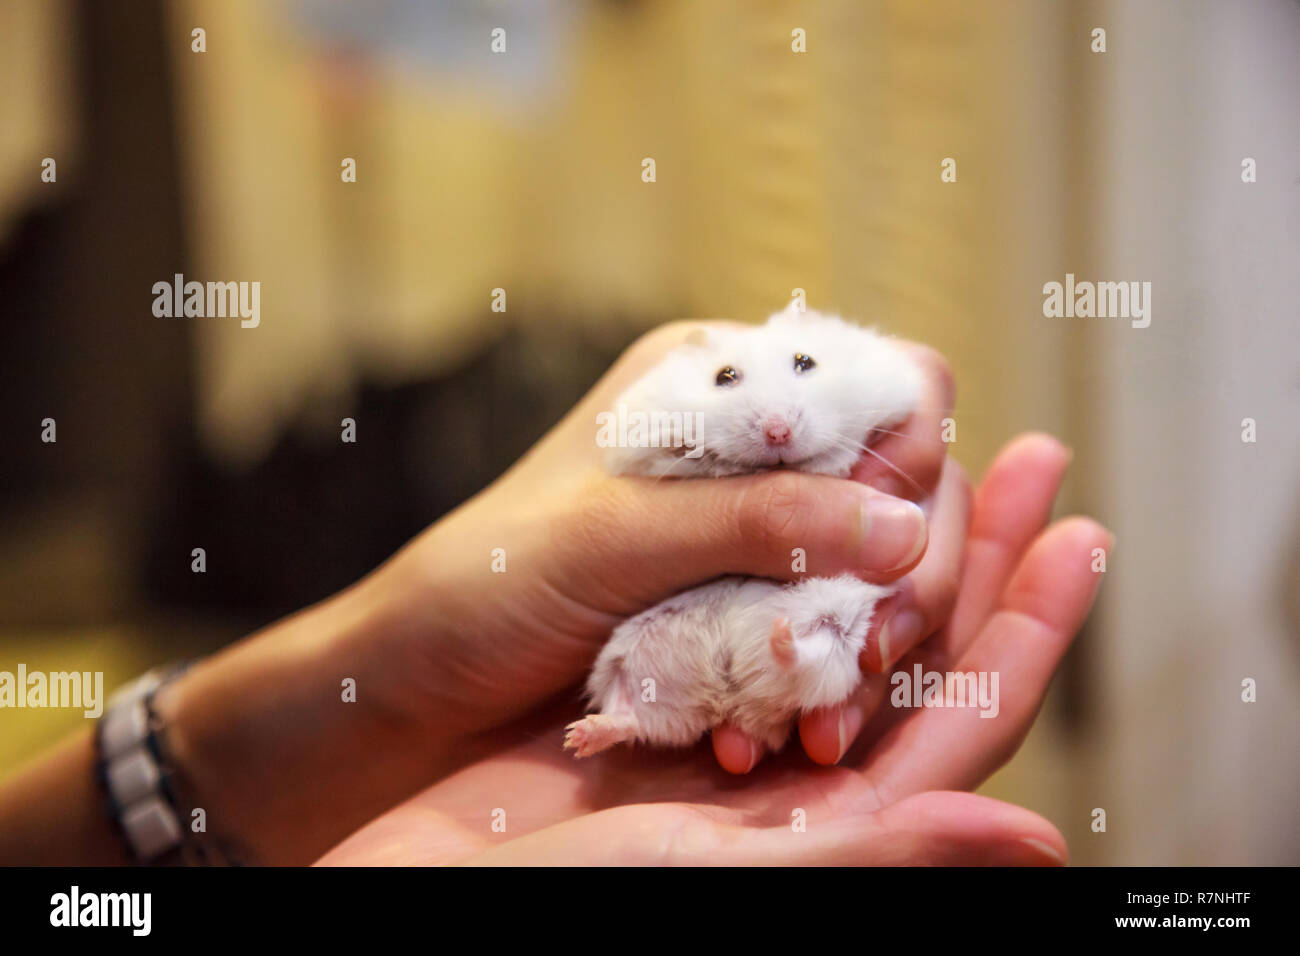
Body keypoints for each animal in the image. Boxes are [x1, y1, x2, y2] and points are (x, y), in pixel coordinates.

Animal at [565, 306, 922, 757]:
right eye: (725, 376)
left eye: (805, 362)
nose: (778, 431)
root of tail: (728, 700)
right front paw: (705, 457)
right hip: (625, 658)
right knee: (628, 714)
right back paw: (580, 737)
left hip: (837, 636)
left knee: (803, 662)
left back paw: (780, 637)